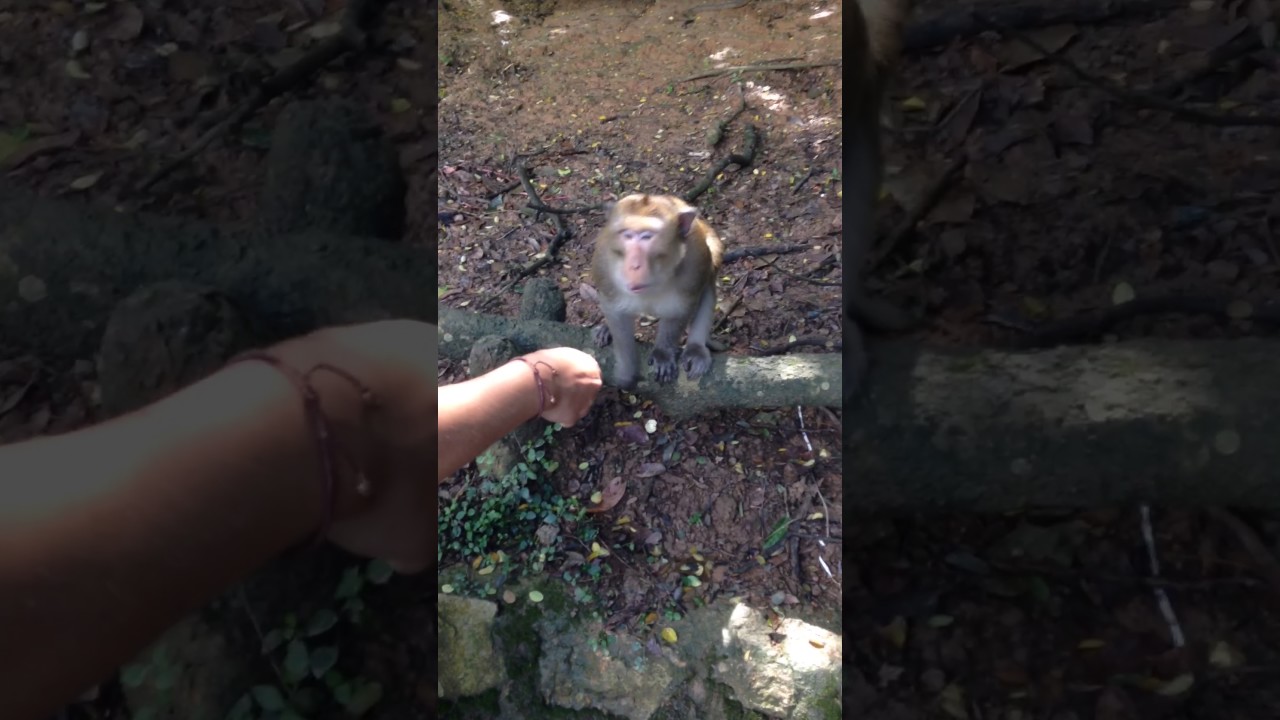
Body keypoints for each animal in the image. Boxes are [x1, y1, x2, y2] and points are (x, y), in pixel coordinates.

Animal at [590, 194, 724, 391]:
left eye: (647, 237)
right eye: (627, 235)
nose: (634, 265)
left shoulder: (695, 262)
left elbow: (680, 308)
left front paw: (663, 354)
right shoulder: (604, 267)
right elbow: (614, 311)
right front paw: (627, 368)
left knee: (709, 279)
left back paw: (696, 349)